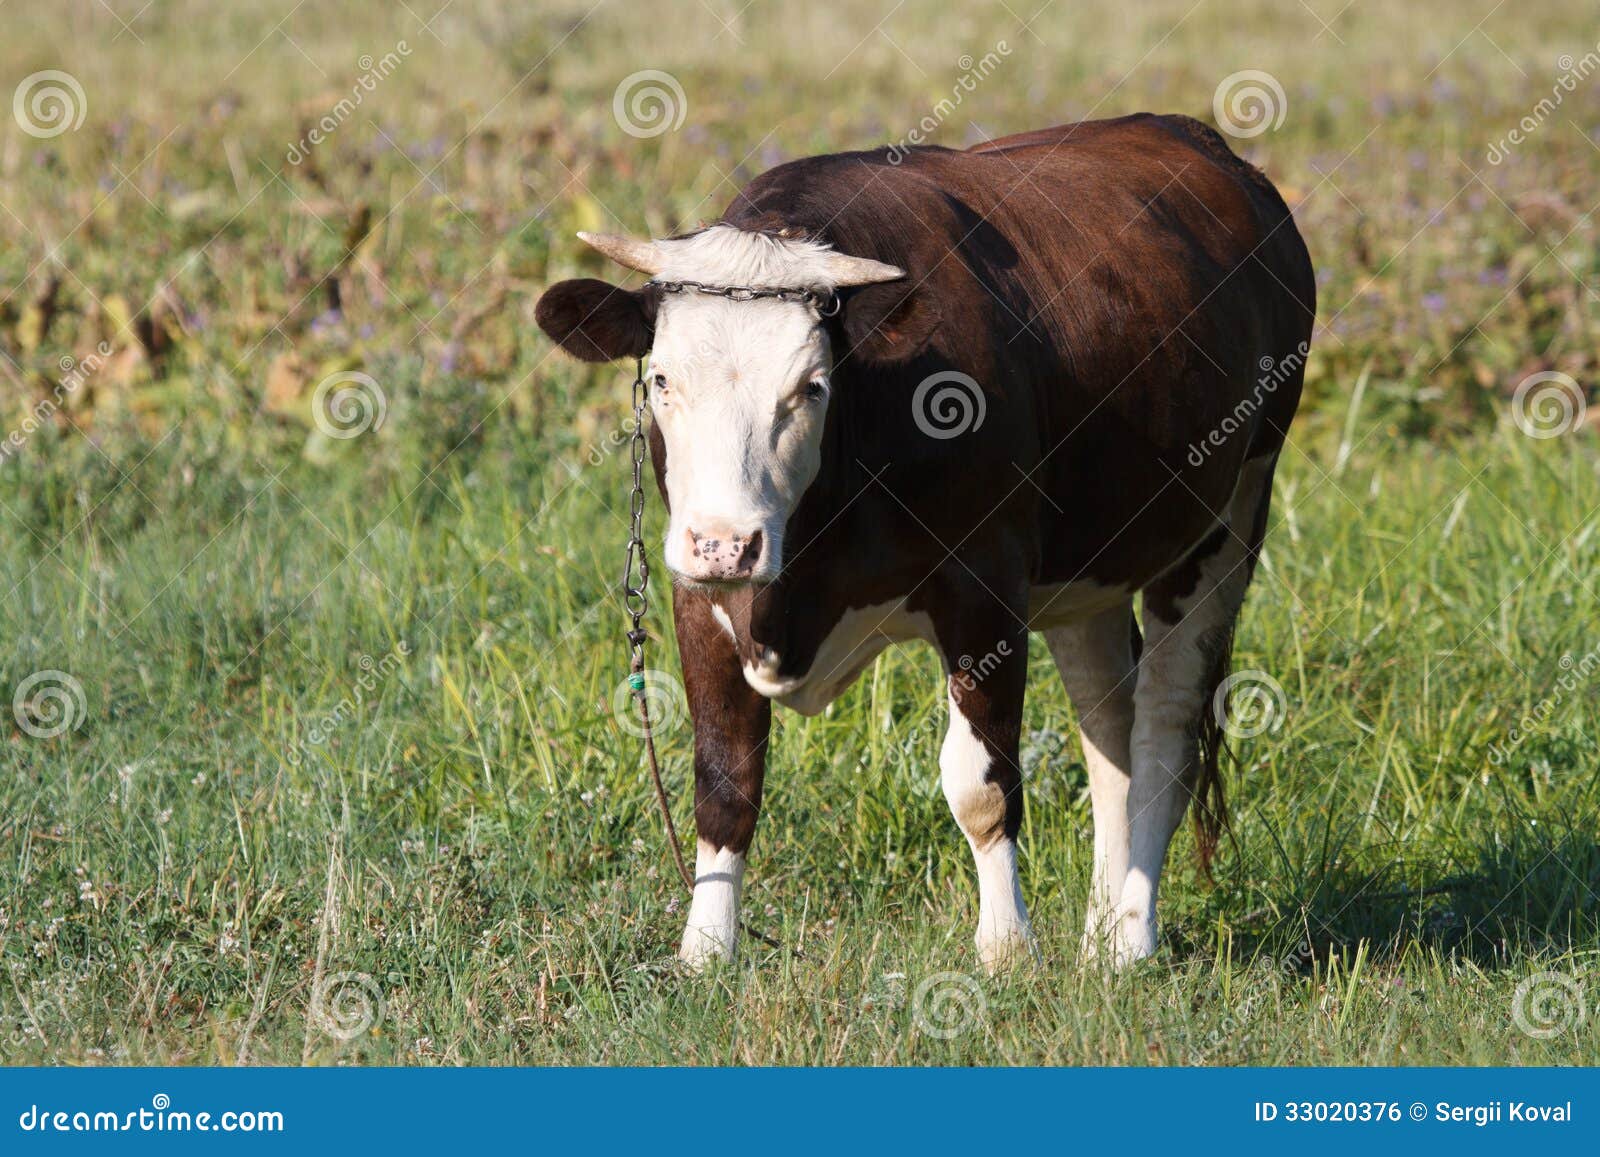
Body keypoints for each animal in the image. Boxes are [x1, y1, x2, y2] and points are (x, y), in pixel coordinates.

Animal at [536, 113, 1315, 970]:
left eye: (810, 386)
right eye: (663, 379)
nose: (725, 544)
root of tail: (1210, 150)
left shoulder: (985, 589)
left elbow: (981, 785)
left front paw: (1005, 949)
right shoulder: (696, 600)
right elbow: (724, 779)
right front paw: (706, 955)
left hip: (1230, 517)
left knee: (1164, 731)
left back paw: (1130, 943)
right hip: (1086, 574)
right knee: (1111, 732)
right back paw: (1100, 936)